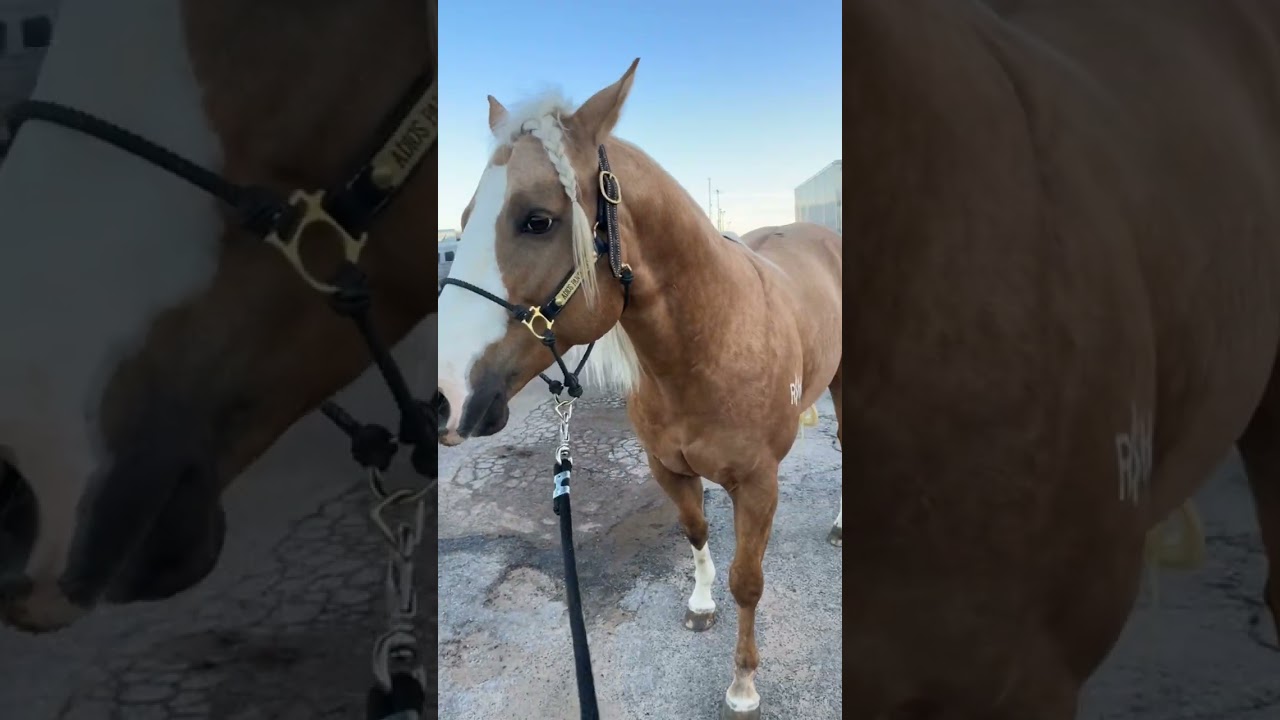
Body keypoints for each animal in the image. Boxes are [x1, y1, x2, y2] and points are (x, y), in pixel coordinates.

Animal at [436, 60, 844, 718]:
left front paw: (743, 683)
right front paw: (700, 603)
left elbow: (748, 581)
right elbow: (696, 531)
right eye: (466, 221)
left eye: (537, 219)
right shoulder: (666, 467)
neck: (710, 346)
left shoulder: (759, 485)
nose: (441, 396)